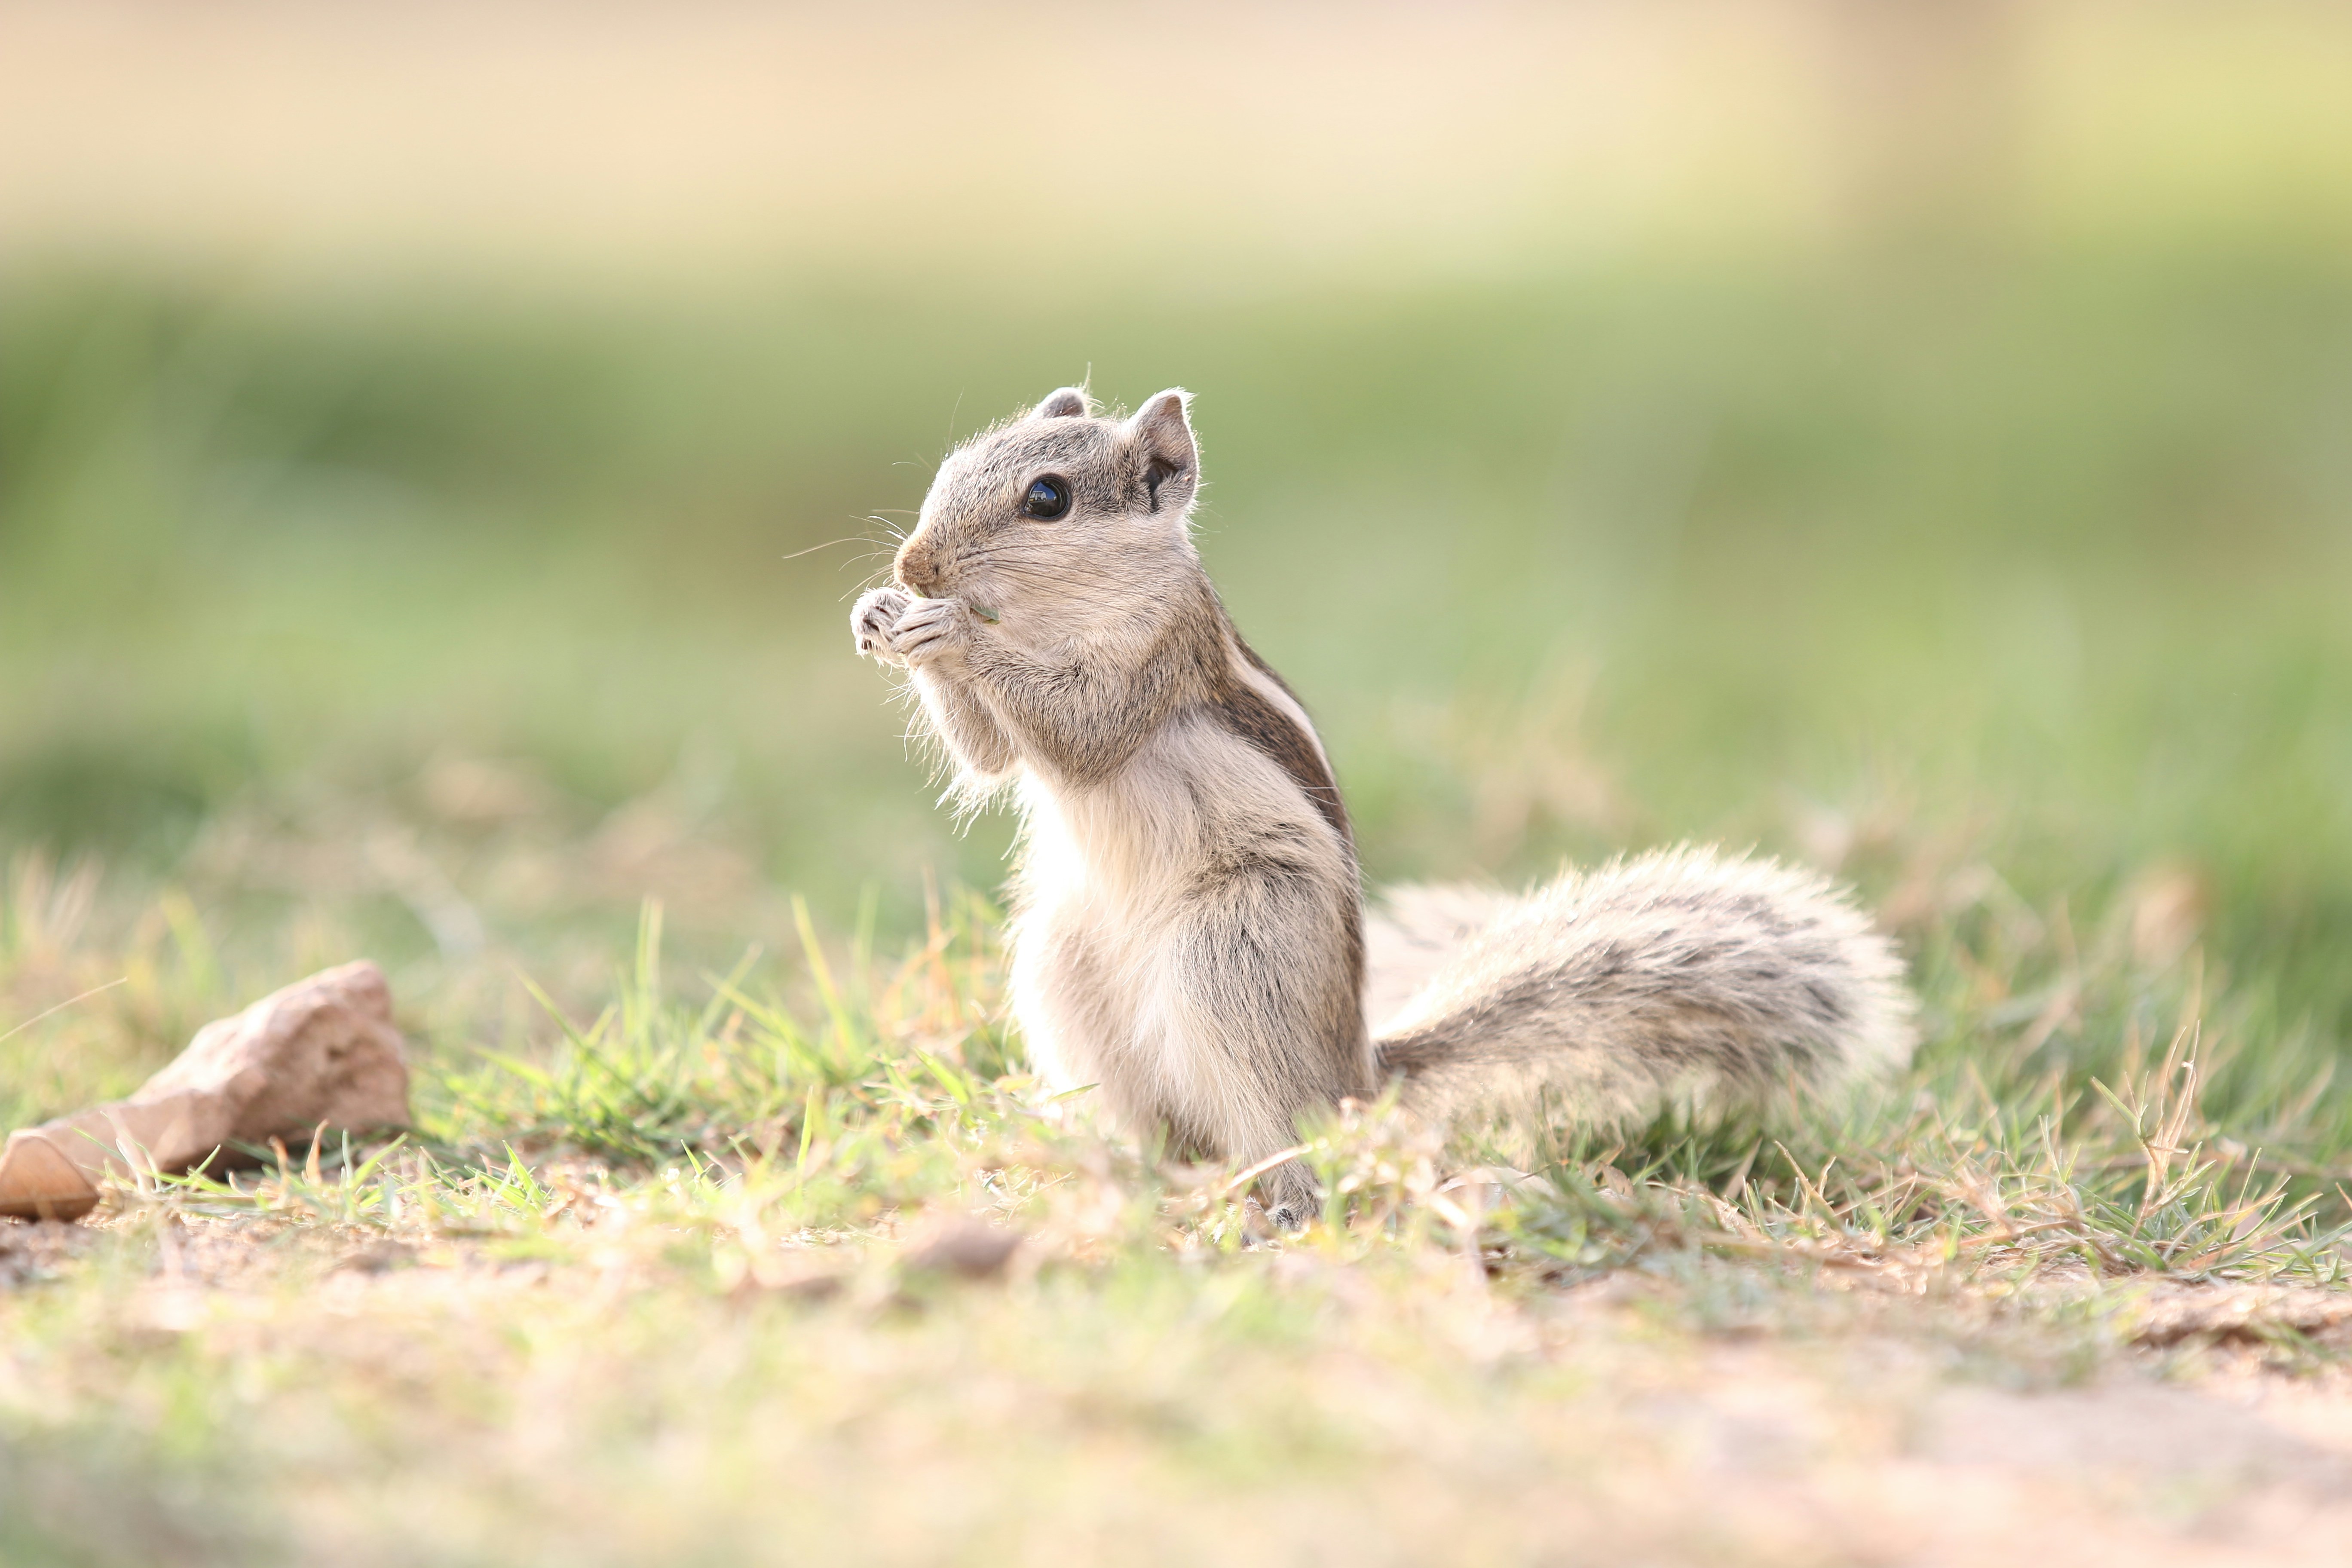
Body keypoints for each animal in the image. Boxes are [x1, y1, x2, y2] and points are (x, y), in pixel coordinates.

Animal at [851, 386, 1914, 1227]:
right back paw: (1117, 1177)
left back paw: (1280, 1209)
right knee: (1172, 1132)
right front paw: (880, 616)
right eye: (952, 466)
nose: (914, 567)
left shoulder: (1154, 655)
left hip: (1235, 953)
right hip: (1060, 972)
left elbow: (1077, 729)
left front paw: (953, 635)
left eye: (1048, 499)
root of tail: (1358, 1080)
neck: (1063, 612)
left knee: (1281, 1132)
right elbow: (993, 757)